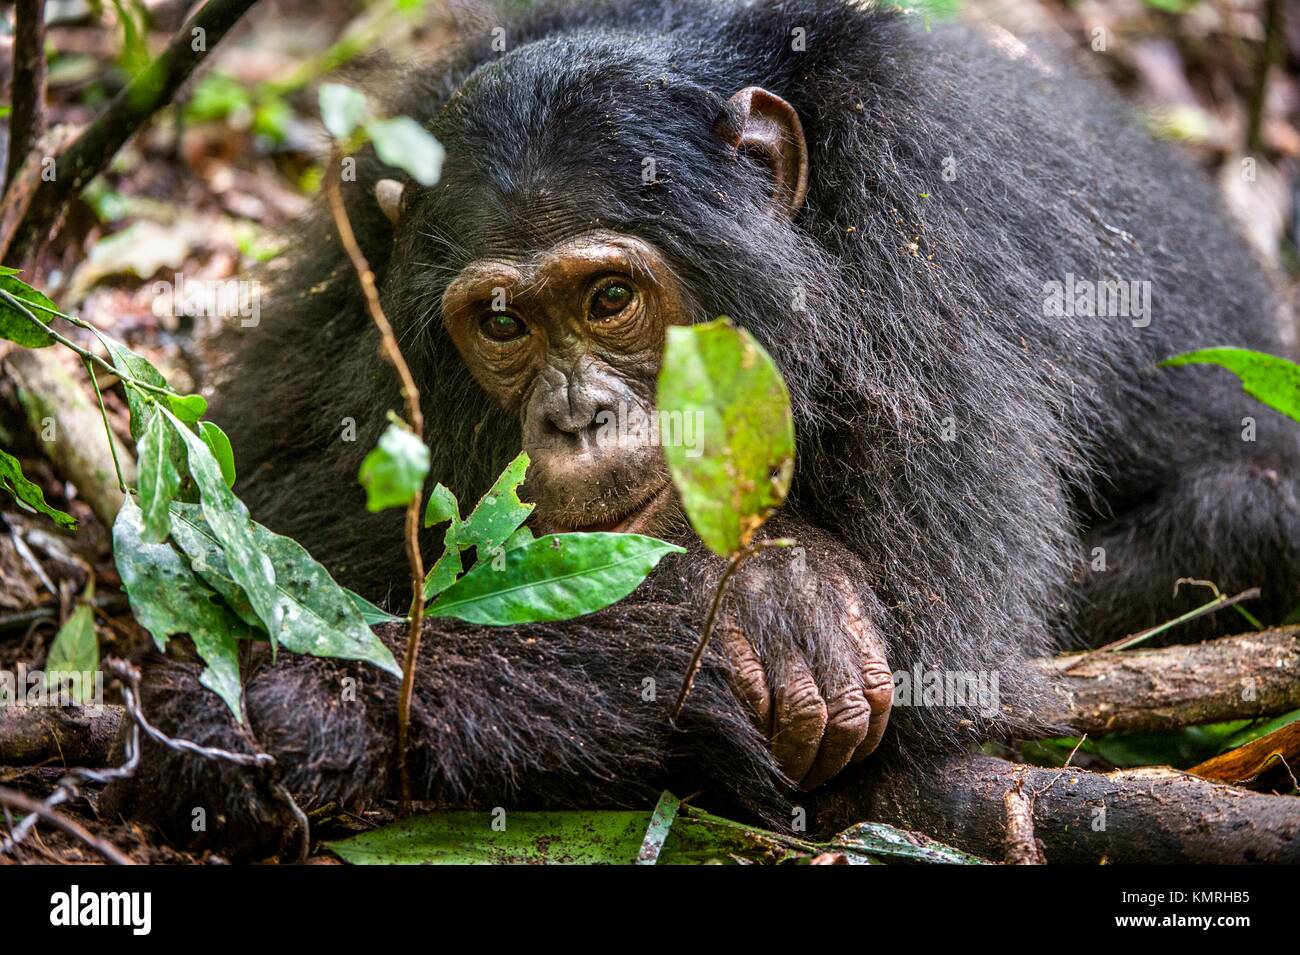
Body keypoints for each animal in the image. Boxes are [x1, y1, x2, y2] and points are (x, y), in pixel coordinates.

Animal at [102, 0, 1300, 855]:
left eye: (608, 300)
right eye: (503, 321)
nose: (576, 412)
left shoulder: (923, 223)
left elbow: (945, 643)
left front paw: (292, 704)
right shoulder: (353, 257)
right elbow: (285, 510)